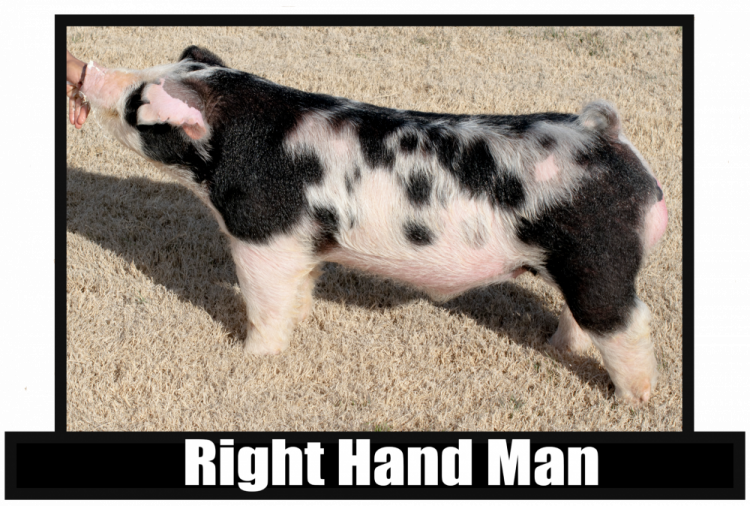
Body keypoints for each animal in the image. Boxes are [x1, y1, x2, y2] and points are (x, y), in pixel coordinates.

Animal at [70, 45, 668, 405]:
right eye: (148, 76)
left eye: (136, 105)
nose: (92, 74)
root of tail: (609, 141)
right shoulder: (302, 245)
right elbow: (300, 290)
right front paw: (299, 321)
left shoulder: (263, 236)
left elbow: (263, 304)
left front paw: (253, 358)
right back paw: (560, 348)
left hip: (599, 258)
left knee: (631, 322)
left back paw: (628, 400)